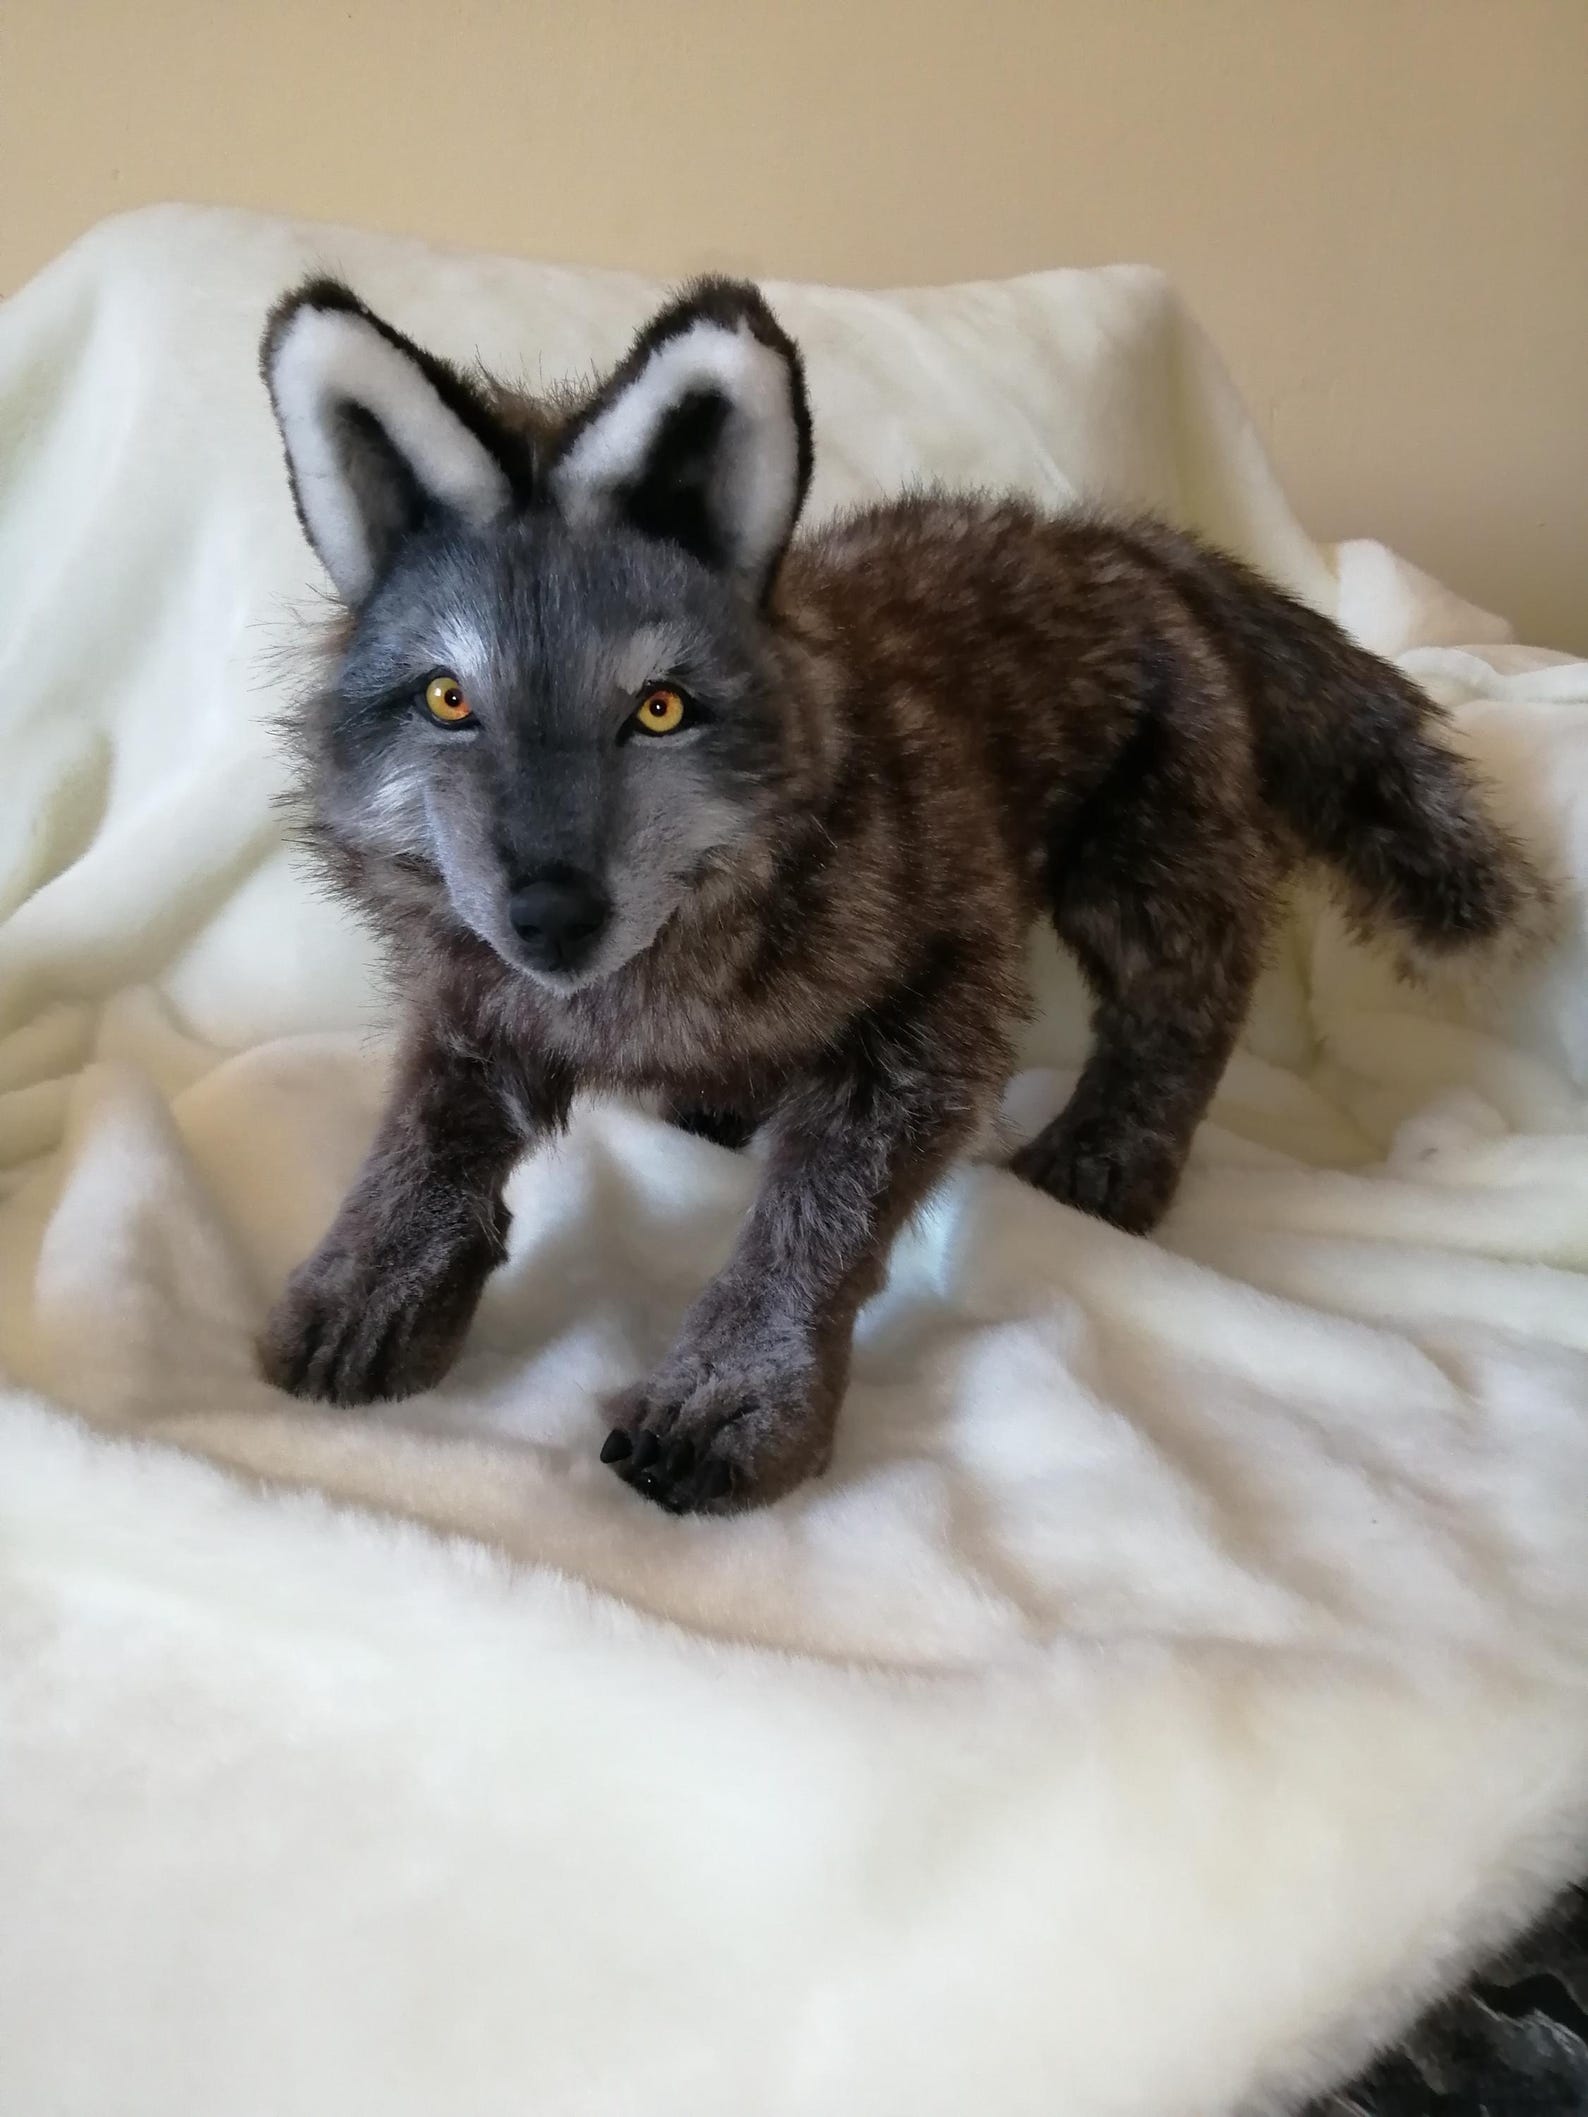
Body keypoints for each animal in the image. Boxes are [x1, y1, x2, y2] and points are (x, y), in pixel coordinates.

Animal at [255, 274, 1550, 1514]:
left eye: (658, 708)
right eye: (448, 699)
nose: (551, 915)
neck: (655, 990)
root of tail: (1114, 537)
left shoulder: (939, 999)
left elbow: (810, 1226)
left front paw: (737, 1392)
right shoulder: (473, 994)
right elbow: (417, 1149)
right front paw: (370, 1285)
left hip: (1142, 882)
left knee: (1189, 999)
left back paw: (1111, 1149)